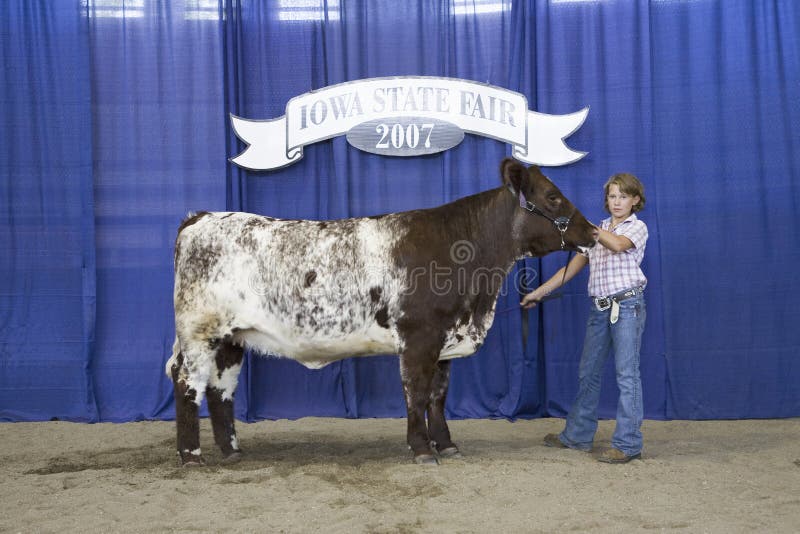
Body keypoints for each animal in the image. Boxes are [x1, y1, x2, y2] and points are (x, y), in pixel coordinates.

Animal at [166, 158, 598, 466]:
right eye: (553, 196)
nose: (593, 233)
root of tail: (200, 218)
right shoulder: (419, 337)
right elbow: (416, 392)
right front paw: (421, 449)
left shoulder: (444, 341)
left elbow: (438, 396)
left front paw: (447, 444)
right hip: (200, 332)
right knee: (188, 382)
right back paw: (192, 457)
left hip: (231, 338)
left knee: (221, 389)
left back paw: (232, 452)